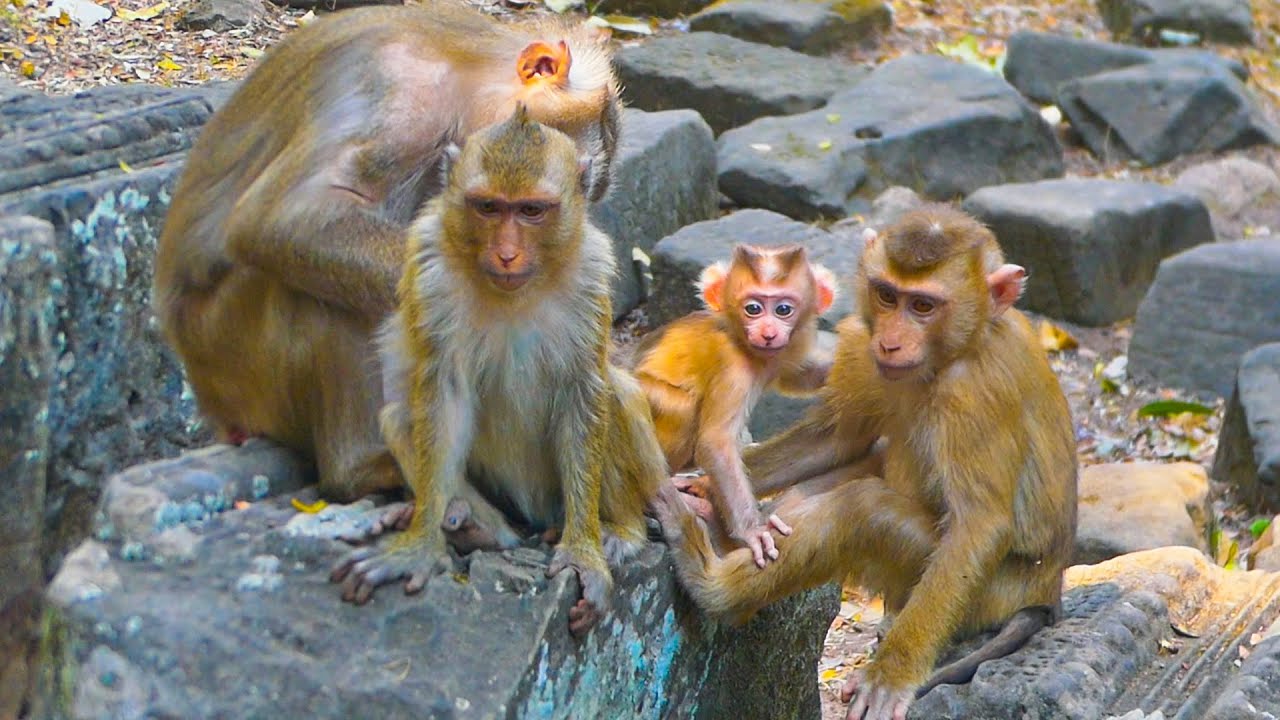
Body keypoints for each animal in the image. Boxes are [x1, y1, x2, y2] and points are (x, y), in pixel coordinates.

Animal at [152, 1, 621, 502]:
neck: (462, 78)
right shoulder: (399, 97)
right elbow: (286, 216)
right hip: (233, 354)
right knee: (311, 288)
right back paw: (361, 468)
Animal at [329, 107, 668, 637]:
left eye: (531, 211)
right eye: (488, 207)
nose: (507, 254)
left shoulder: (593, 270)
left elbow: (583, 390)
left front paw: (584, 554)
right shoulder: (428, 264)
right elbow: (443, 395)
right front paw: (417, 547)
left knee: (611, 392)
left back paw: (620, 529)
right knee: (399, 416)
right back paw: (476, 528)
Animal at [629, 245, 837, 568]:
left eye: (783, 310)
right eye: (753, 308)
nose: (767, 332)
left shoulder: (782, 354)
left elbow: (800, 377)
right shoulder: (732, 368)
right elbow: (716, 443)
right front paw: (753, 531)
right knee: (681, 407)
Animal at [650, 205, 1078, 720]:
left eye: (923, 307)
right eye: (887, 296)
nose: (890, 342)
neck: (958, 349)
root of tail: (1047, 593)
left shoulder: (973, 391)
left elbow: (979, 525)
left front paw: (892, 674)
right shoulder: (861, 343)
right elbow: (840, 440)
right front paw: (708, 490)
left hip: (986, 597)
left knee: (864, 509)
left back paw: (710, 582)